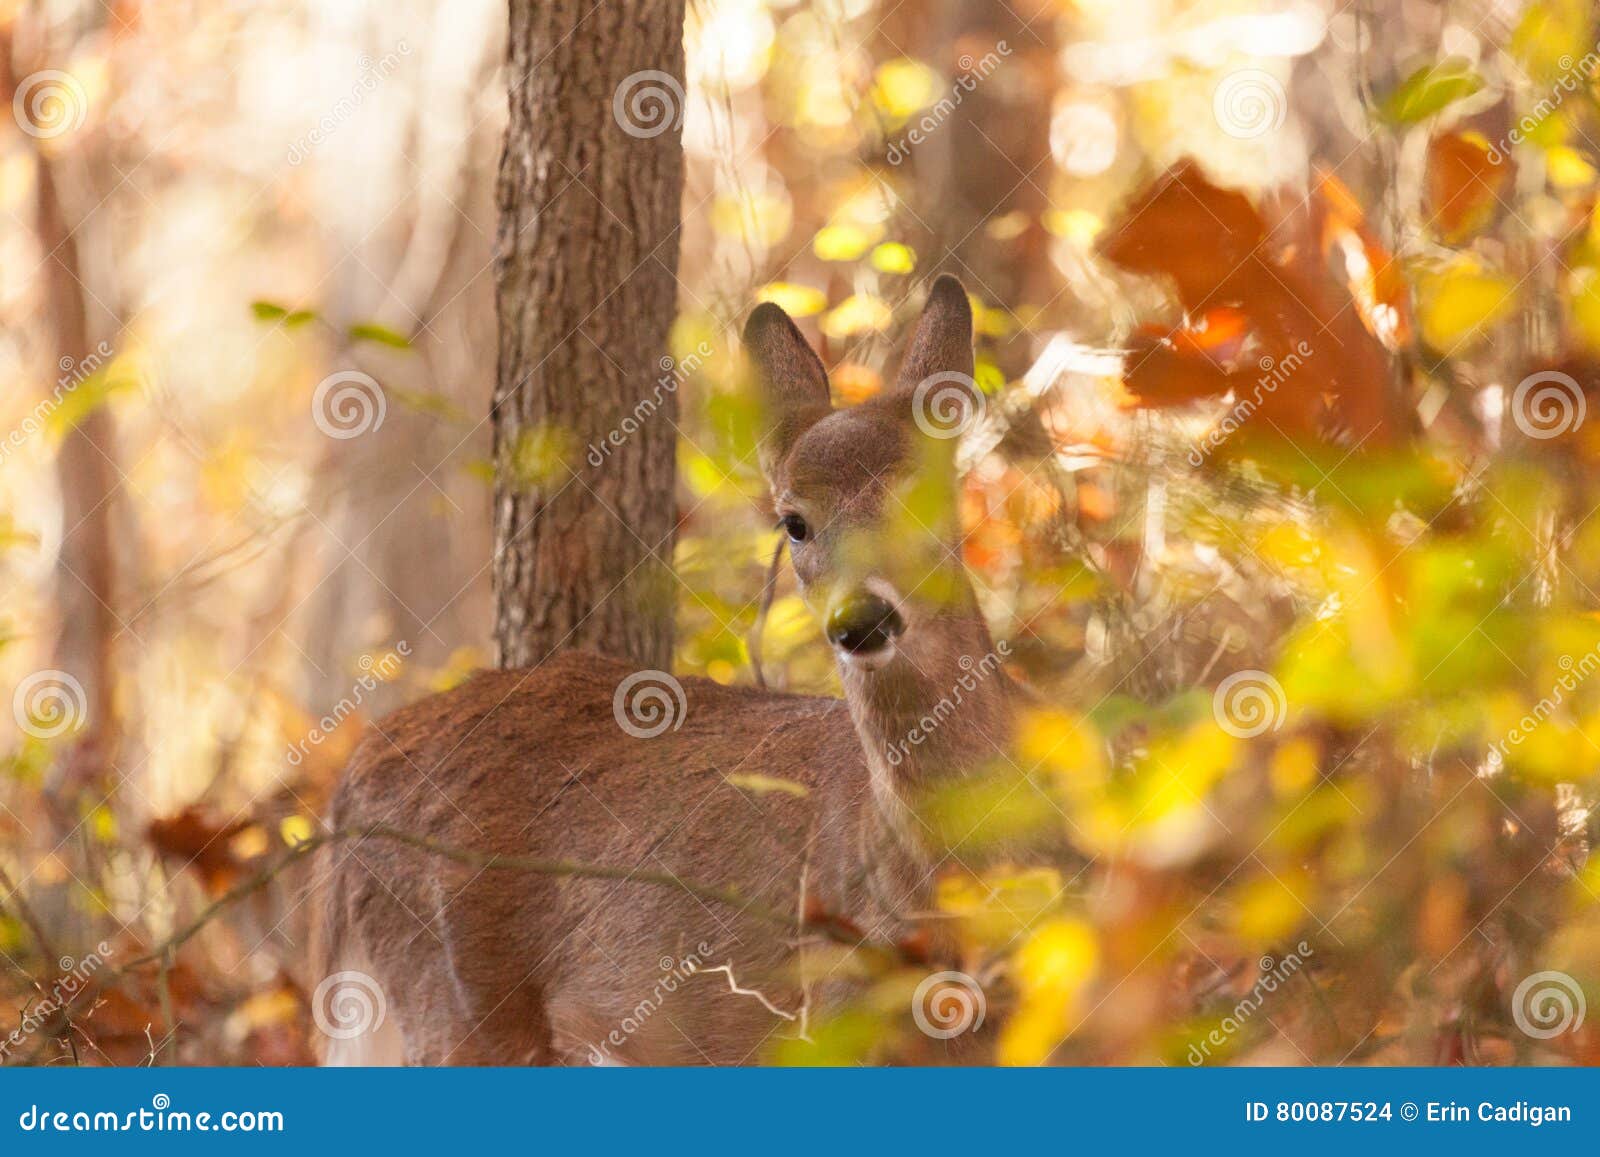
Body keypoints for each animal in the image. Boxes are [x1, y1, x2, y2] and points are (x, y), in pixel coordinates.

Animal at [313, 275, 1030, 1064]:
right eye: (794, 521)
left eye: (923, 496)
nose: (862, 618)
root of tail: (350, 782)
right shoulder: (836, 1010)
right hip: (449, 1003)